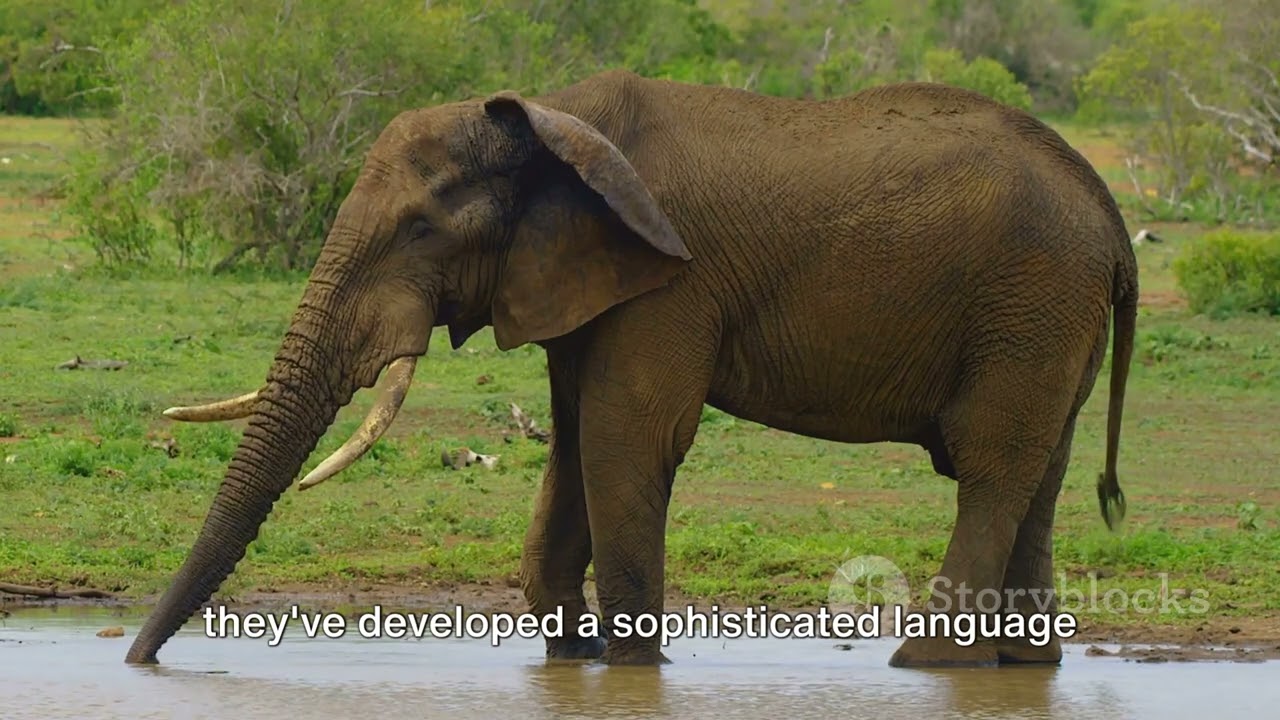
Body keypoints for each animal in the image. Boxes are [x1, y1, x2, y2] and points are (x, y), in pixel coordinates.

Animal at [124, 68, 1137, 669]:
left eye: (419, 230)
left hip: (1030, 301)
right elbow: (575, 441)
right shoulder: (579, 281)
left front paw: (632, 665)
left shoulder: (667, 282)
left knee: (991, 470)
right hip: (1047, 318)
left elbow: (625, 444)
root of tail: (1110, 212)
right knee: (1038, 475)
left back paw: (925, 667)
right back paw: (1024, 669)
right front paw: (574, 657)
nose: (140, 659)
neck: (550, 122)